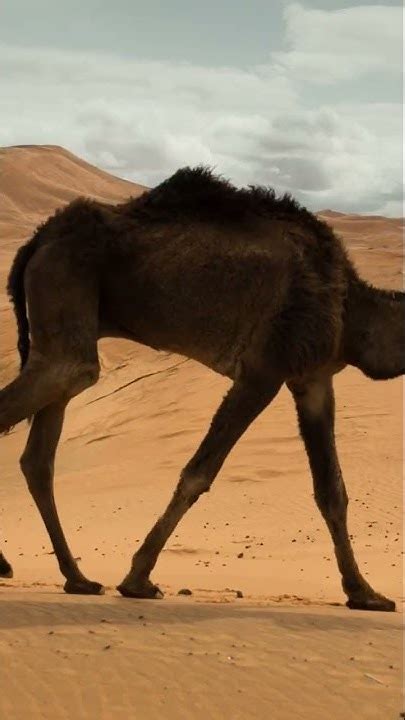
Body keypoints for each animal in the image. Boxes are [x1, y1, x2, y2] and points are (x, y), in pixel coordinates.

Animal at [0, 167, 403, 610]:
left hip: (64, 330)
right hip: (65, 298)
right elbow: (200, 472)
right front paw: (138, 579)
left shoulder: (313, 379)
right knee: (61, 386)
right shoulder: (264, 369)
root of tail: (38, 240)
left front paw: (364, 592)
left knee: (39, 457)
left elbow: (332, 489)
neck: (352, 311)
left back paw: (77, 578)